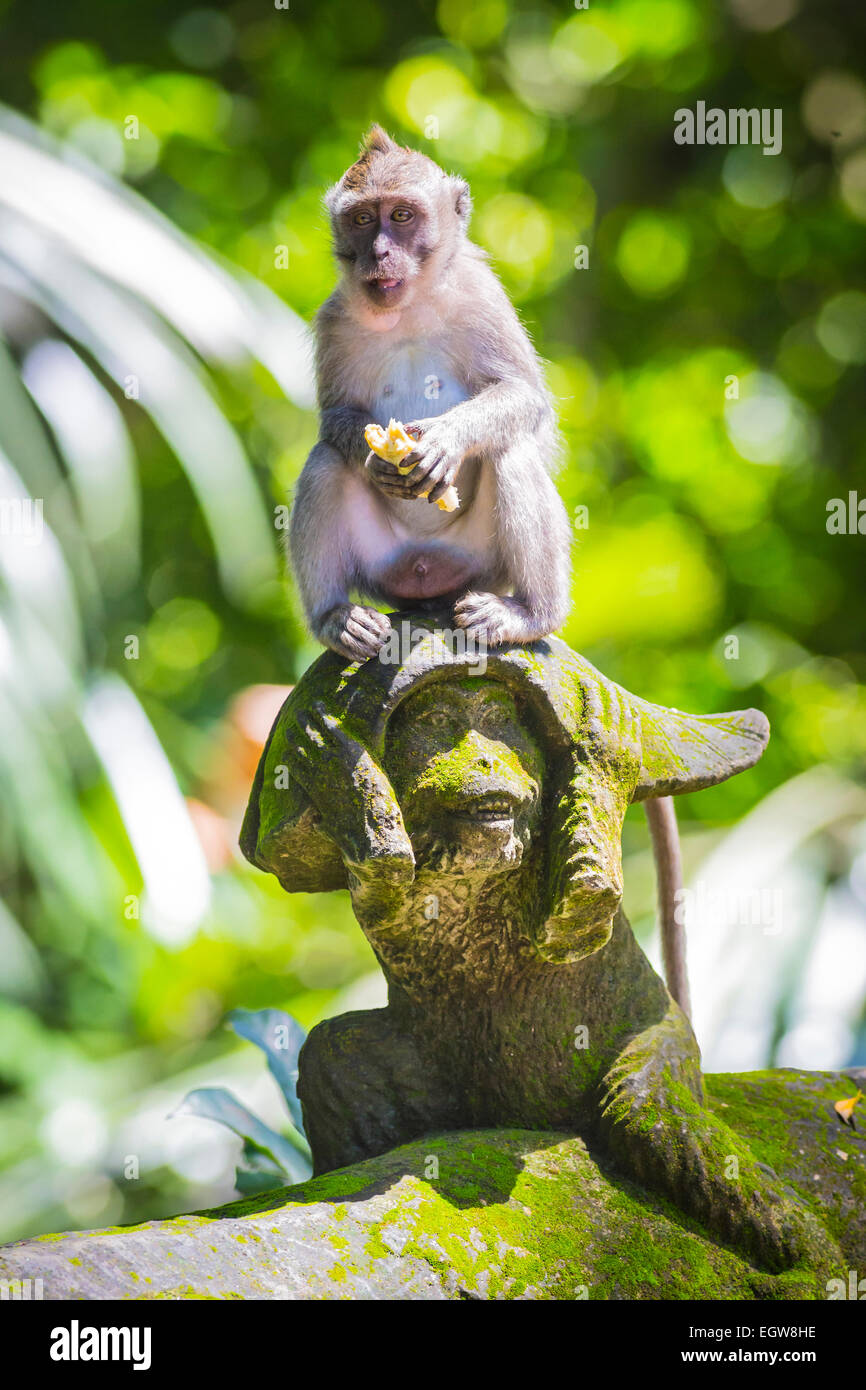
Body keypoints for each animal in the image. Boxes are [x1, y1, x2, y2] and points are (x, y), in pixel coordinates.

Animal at [288, 124, 572, 665]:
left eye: (401, 216)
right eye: (361, 219)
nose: (378, 252)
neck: (409, 307)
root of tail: (428, 577)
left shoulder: (482, 296)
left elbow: (523, 395)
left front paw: (445, 441)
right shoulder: (335, 318)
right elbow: (336, 416)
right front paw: (376, 459)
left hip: (479, 562)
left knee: (510, 448)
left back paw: (530, 614)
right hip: (385, 562)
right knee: (325, 458)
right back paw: (336, 619)